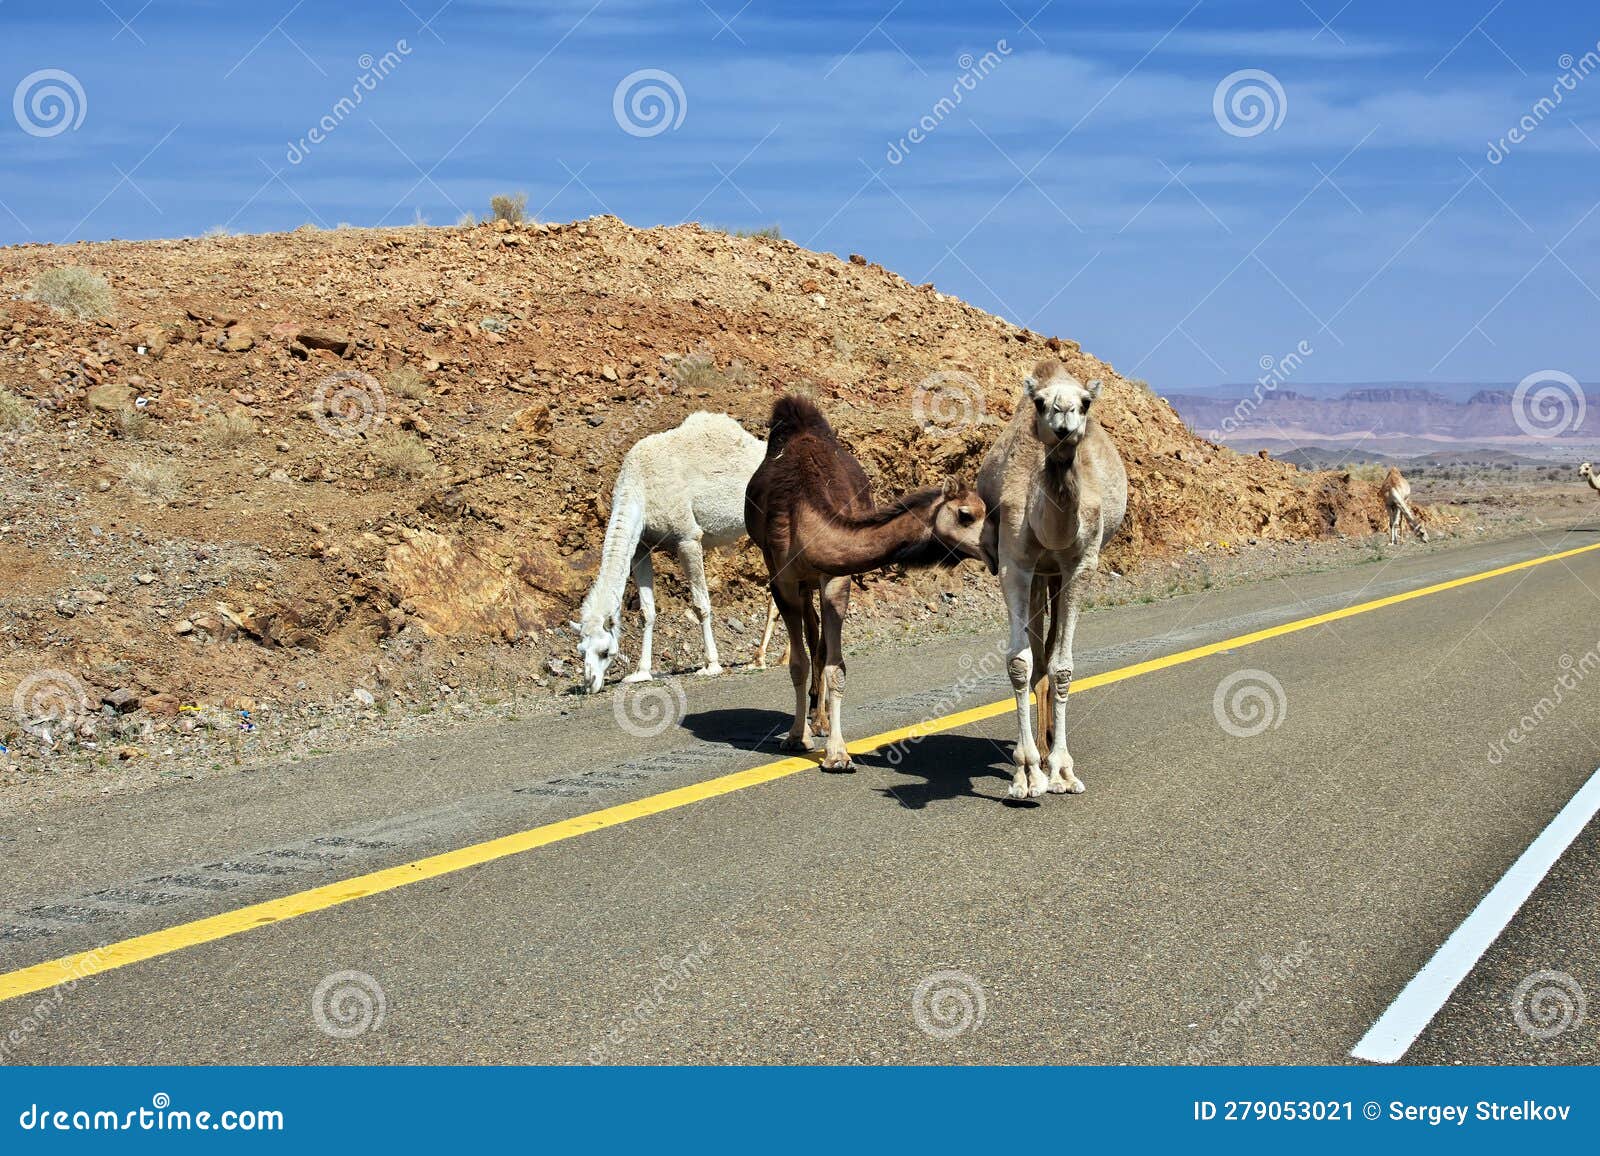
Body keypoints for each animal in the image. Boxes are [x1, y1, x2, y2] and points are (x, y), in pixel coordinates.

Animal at [573, 412, 783, 693]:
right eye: (581, 650)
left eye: (605, 651)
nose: (589, 684)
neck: (640, 488)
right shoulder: (641, 547)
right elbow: (647, 611)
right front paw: (641, 673)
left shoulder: (688, 538)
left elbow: (700, 604)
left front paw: (710, 665)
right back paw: (772, 657)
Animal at [744, 394, 987, 771]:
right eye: (965, 514)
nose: (994, 546)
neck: (804, 514)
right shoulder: (781, 578)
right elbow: (797, 664)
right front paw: (796, 738)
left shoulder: (836, 577)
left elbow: (836, 666)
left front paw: (837, 753)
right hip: (796, 580)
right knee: (810, 636)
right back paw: (811, 720)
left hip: (813, 580)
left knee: (818, 638)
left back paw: (820, 719)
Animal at [976, 360, 1127, 800]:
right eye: (1041, 403)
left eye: (1086, 402)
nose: (1063, 419)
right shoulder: (1015, 564)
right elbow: (1019, 661)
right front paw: (1026, 774)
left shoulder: (1079, 565)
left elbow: (1062, 667)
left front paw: (1062, 771)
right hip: (1040, 574)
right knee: (1037, 653)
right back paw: (1039, 753)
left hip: (1056, 575)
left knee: (1050, 652)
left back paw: (1048, 751)